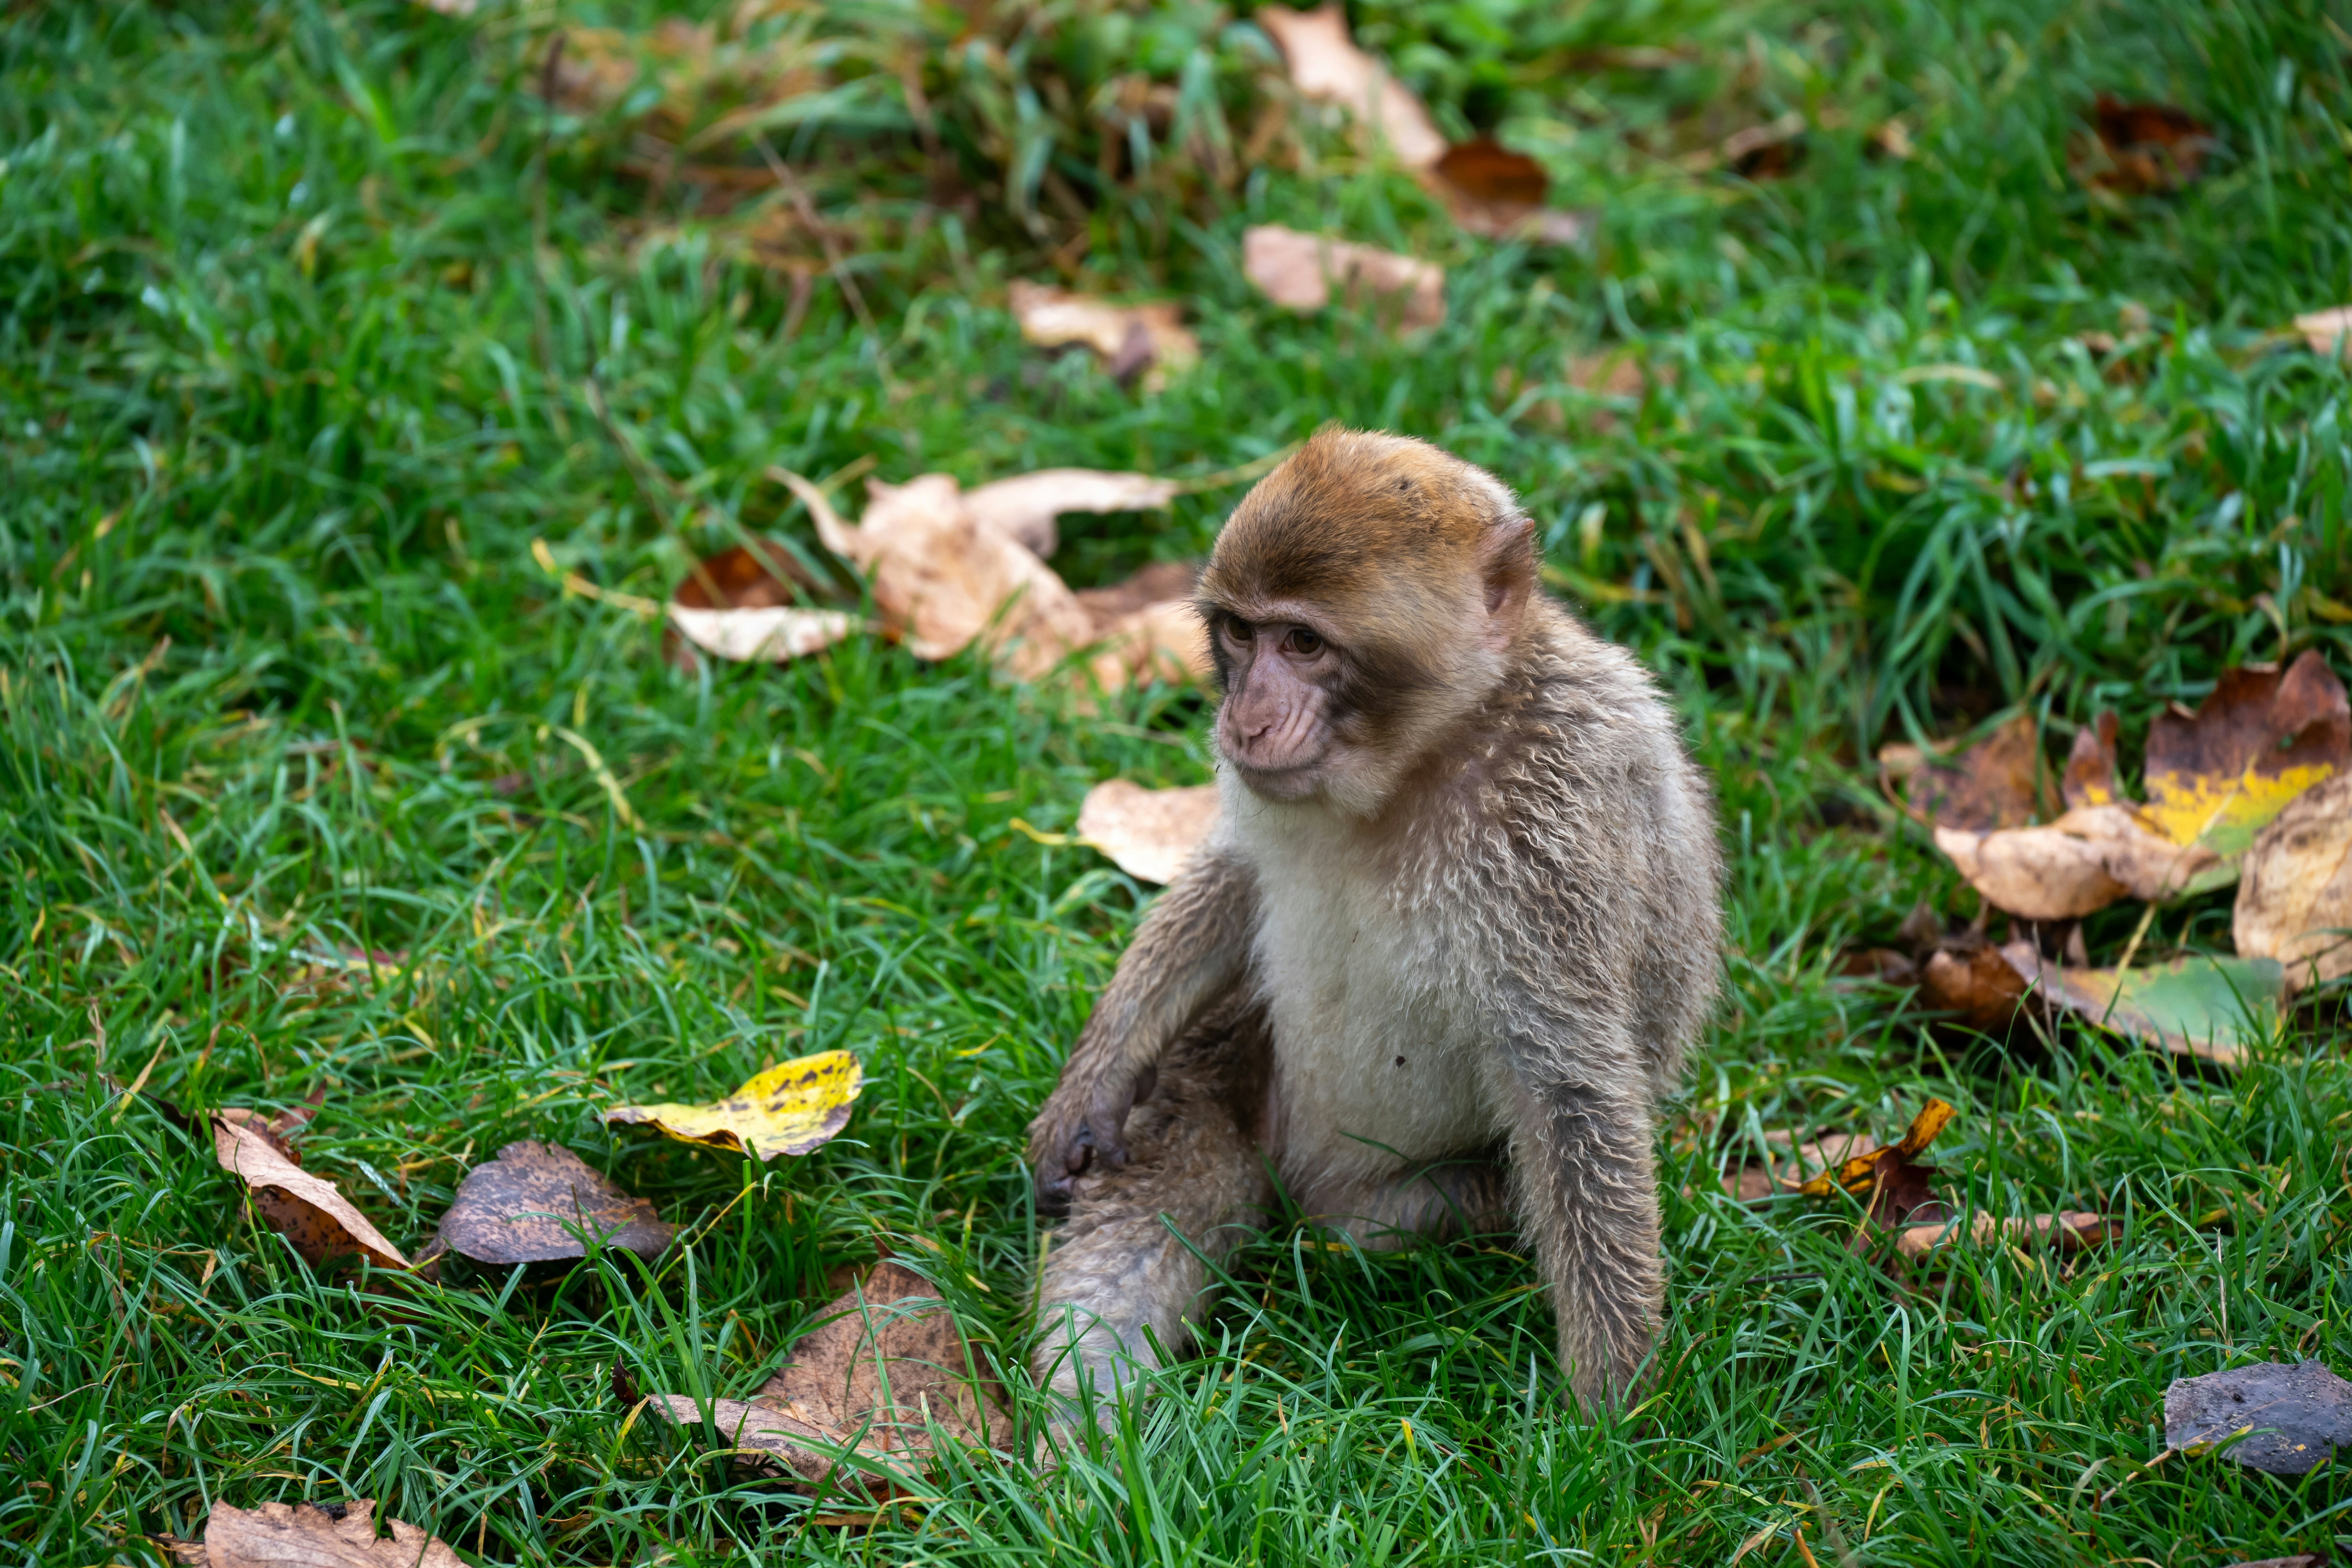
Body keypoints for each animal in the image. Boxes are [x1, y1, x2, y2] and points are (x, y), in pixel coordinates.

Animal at [1025, 428, 1723, 1425]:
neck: (1422, 758)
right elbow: (1234, 883)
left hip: (1394, 1198)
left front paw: (1609, 1413)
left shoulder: (1559, 818)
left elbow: (1569, 1081)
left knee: (1376, 1224)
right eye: (1240, 633)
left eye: (1304, 642)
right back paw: (1082, 1429)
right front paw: (1097, 1073)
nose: (1244, 717)